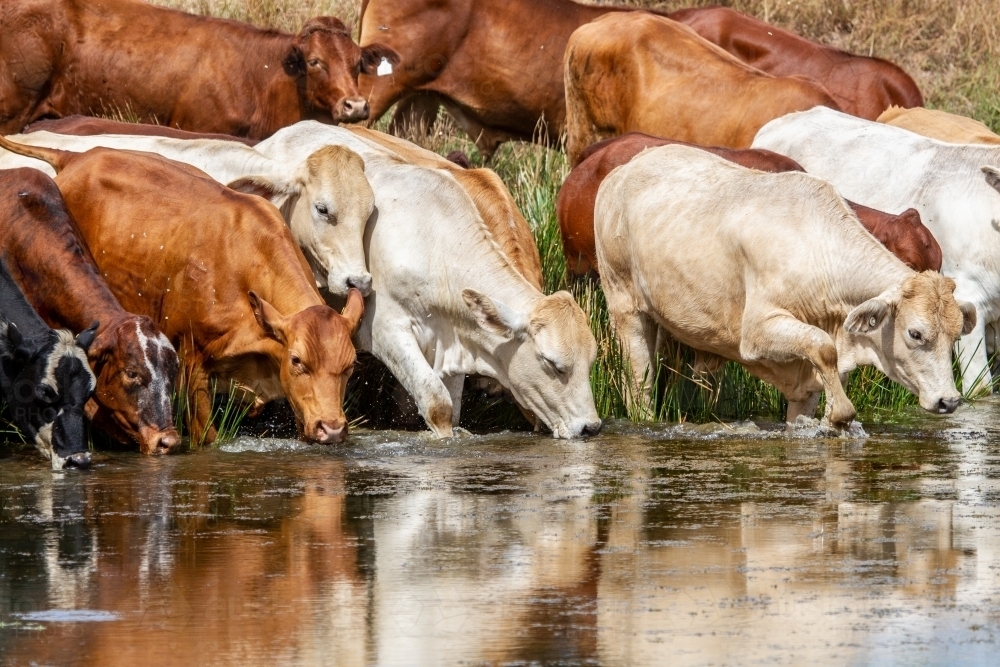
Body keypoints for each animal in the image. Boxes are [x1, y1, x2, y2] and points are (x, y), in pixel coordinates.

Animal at [594, 144, 974, 427]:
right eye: (915, 333)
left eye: (955, 336)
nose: (949, 400)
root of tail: (624, 169)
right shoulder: (757, 331)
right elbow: (822, 346)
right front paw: (841, 414)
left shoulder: (805, 384)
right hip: (625, 306)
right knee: (639, 384)